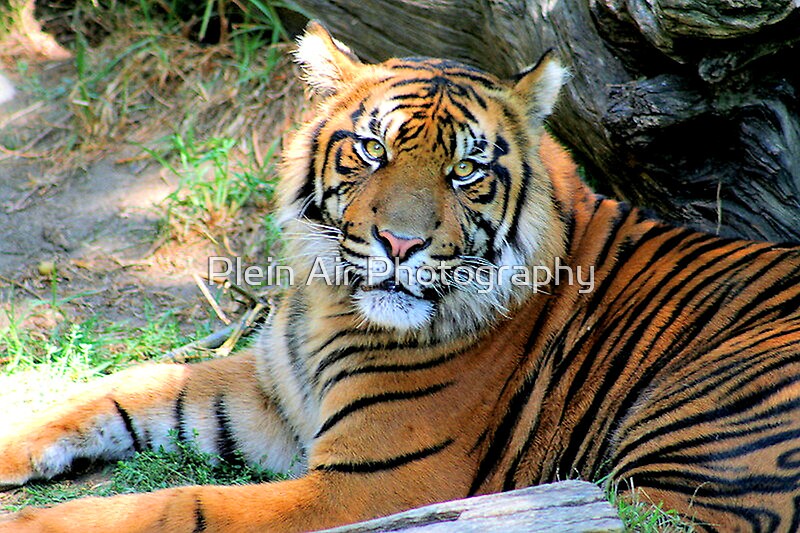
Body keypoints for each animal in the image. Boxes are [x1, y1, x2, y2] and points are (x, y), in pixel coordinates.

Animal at [2, 20, 800, 532]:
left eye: (466, 170)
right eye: (372, 149)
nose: (400, 242)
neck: (332, 303)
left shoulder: (366, 487)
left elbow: (180, 505)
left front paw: (34, 524)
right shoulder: (268, 394)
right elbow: (129, 387)